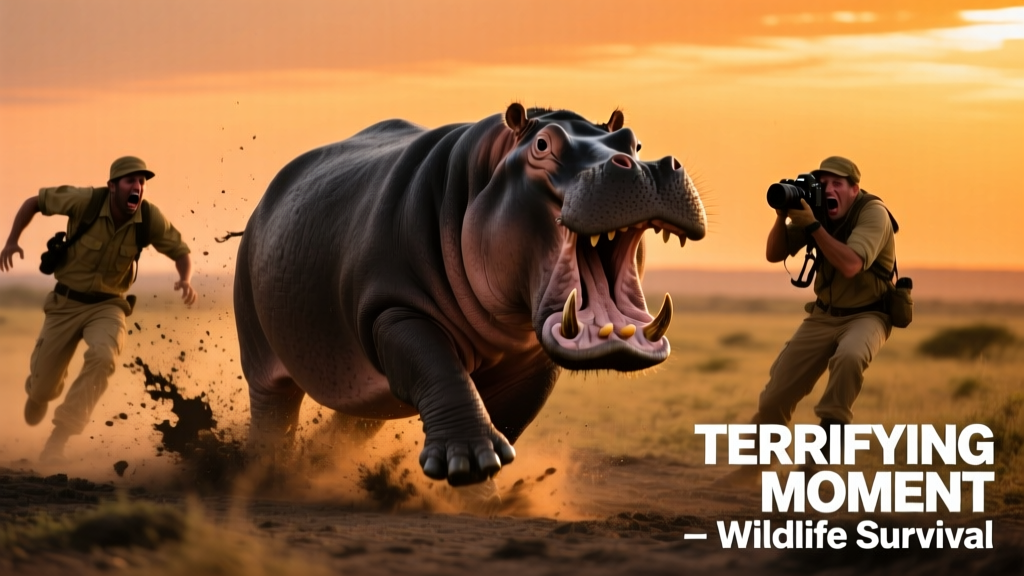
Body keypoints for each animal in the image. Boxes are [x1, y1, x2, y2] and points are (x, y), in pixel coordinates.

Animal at [234, 104, 706, 485]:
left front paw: (479, 484)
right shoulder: (393, 308)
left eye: (634, 141)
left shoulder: (530, 357)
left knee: (358, 419)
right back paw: (266, 470)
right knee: (273, 408)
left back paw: (320, 461)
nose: (649, 166)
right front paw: (466, 462)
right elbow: (439, 367)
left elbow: (508, 416)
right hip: (257, 345)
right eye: (542, 145)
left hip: (372, 386)